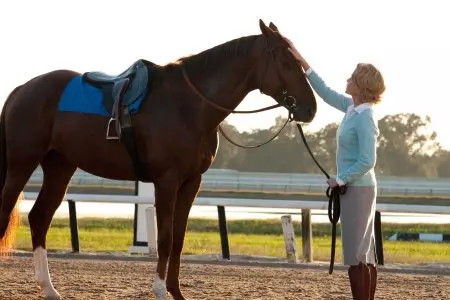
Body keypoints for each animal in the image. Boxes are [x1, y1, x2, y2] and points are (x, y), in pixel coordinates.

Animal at [0, 19, 316, 298]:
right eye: (286, 62)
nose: (310, 108)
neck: (190, 105)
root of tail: (22, 89)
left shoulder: (191, 183)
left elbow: (178, 239)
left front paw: (176, 292)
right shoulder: (167, 181)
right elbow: (164, 238)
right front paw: (160, 290)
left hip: (59, 167)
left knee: (39, 218)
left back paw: (49, 288)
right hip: (21, 165)